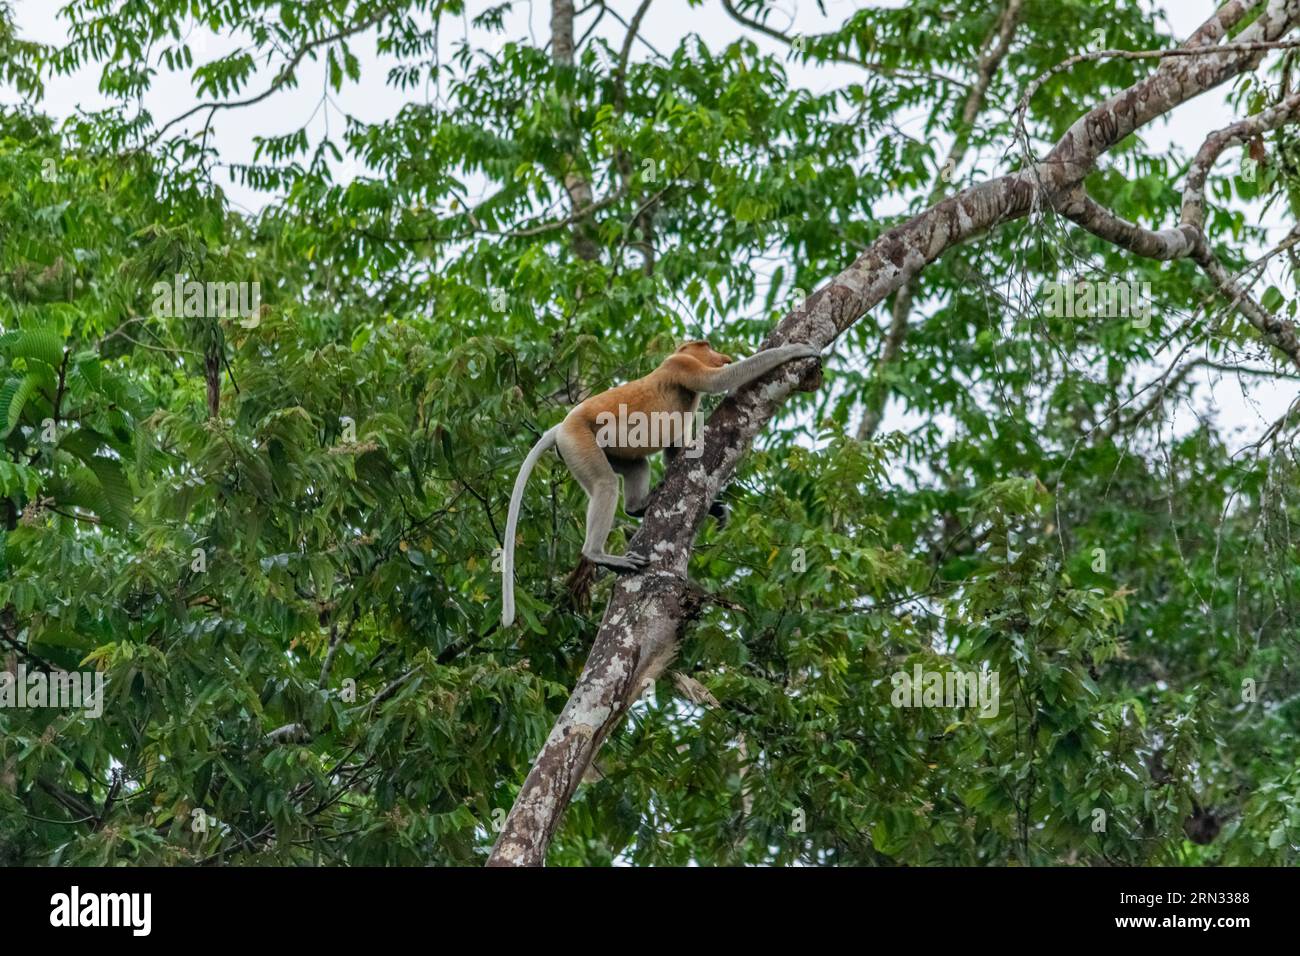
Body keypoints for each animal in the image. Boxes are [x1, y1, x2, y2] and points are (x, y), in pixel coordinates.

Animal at [501, 338, 822, 626]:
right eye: (707, 346)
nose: (723, 356)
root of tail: (560, 427)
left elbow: (674, 452)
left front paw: (717, 510)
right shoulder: (681, 365)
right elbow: (720, 380)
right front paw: (796, 350)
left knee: (637, 466)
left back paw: (638, 507)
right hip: (579, 442)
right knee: (605, 484)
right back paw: (600, 554)